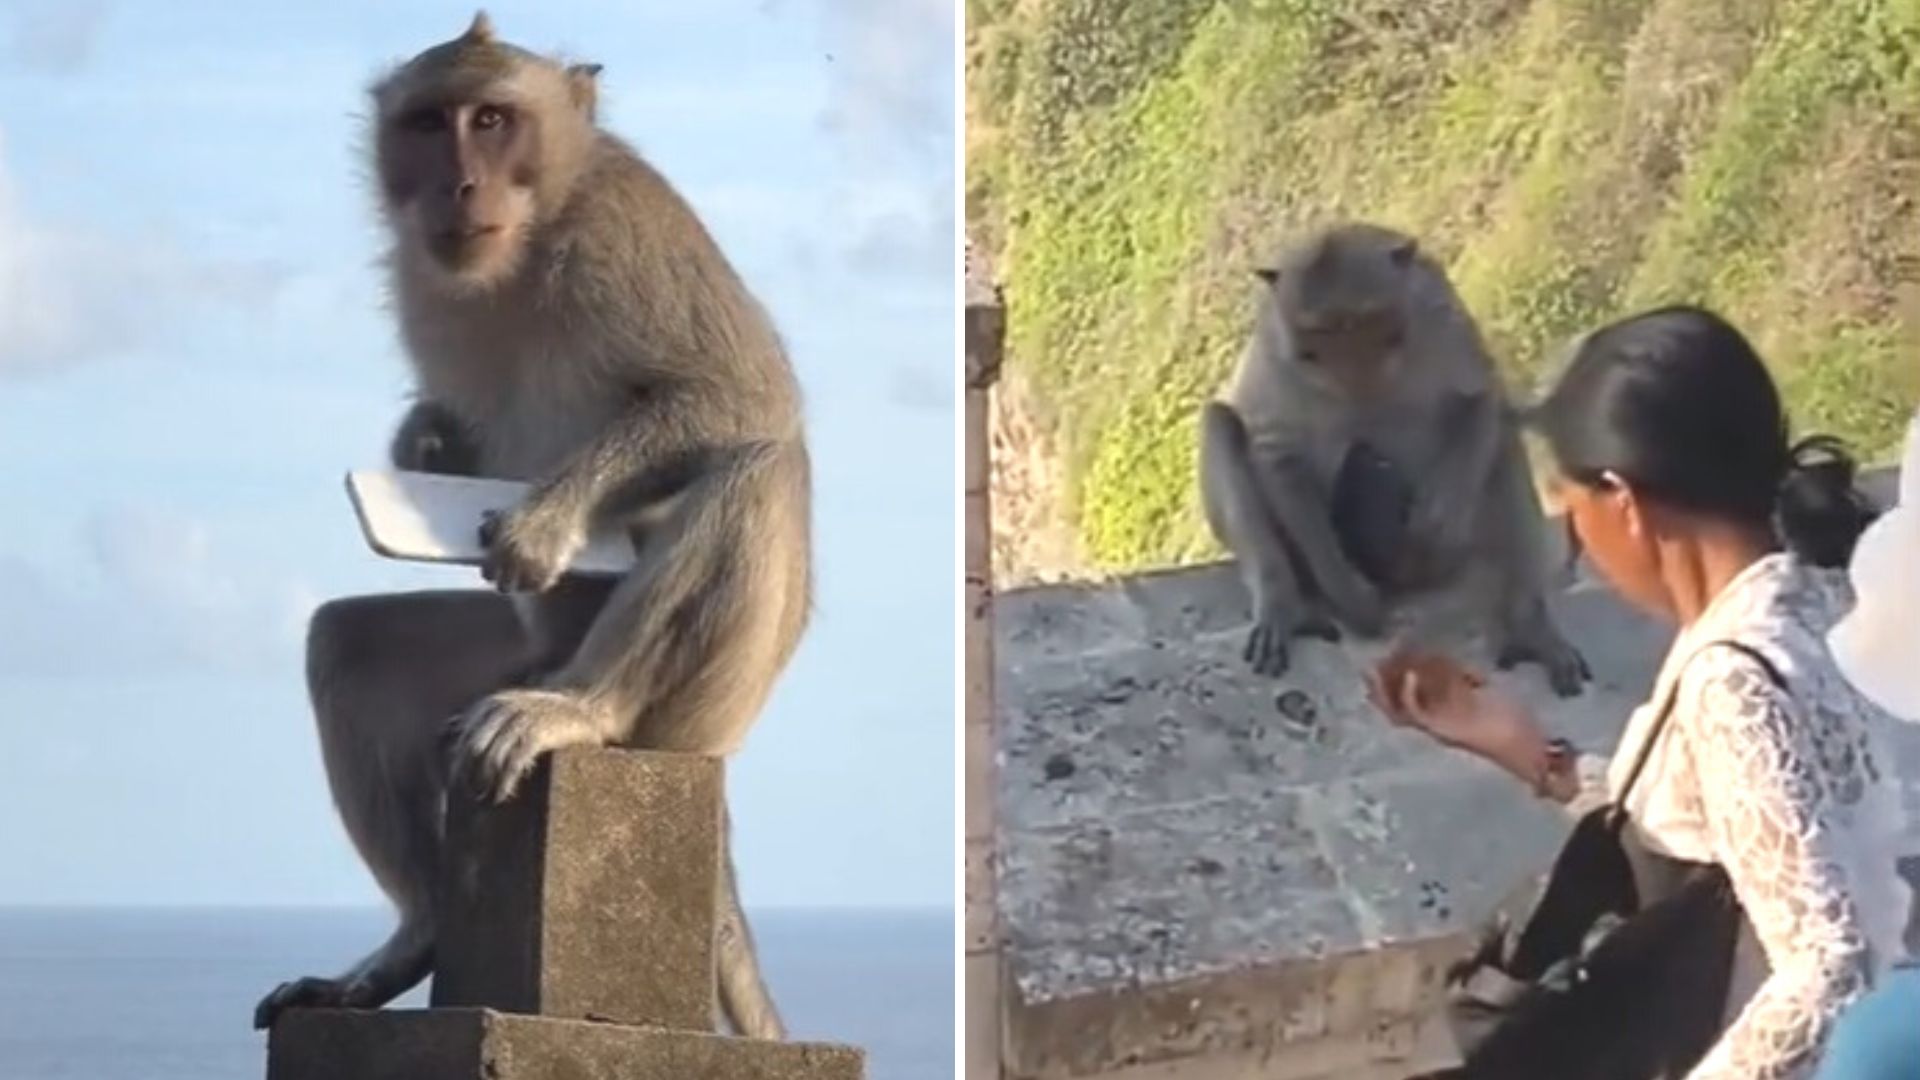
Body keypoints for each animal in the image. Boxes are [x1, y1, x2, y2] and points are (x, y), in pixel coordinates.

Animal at [251, 13, 807, 1040]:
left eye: (493, 119)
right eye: (430, 123)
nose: (459, 184)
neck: (536, 233)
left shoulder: (624, 232)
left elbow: (742, 398)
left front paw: (546, 521)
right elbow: (449, 446)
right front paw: (425, 440)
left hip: (702, 705)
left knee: (751, 470)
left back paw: (586, 708)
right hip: (510, 661)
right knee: (348, 644)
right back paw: (411, 944)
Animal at [1197, 221, 1590, 696]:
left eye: (1361, 324)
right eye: (1321, 335)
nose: (1350, 369)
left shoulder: (1439, 309)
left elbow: (1481, 396)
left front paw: (1441, 521)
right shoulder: (1275, 347)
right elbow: (1277, 449)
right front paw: (1350, 595)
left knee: (1502, 442)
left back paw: (1529, 625)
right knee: (1219, 424)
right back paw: (1282, 604)